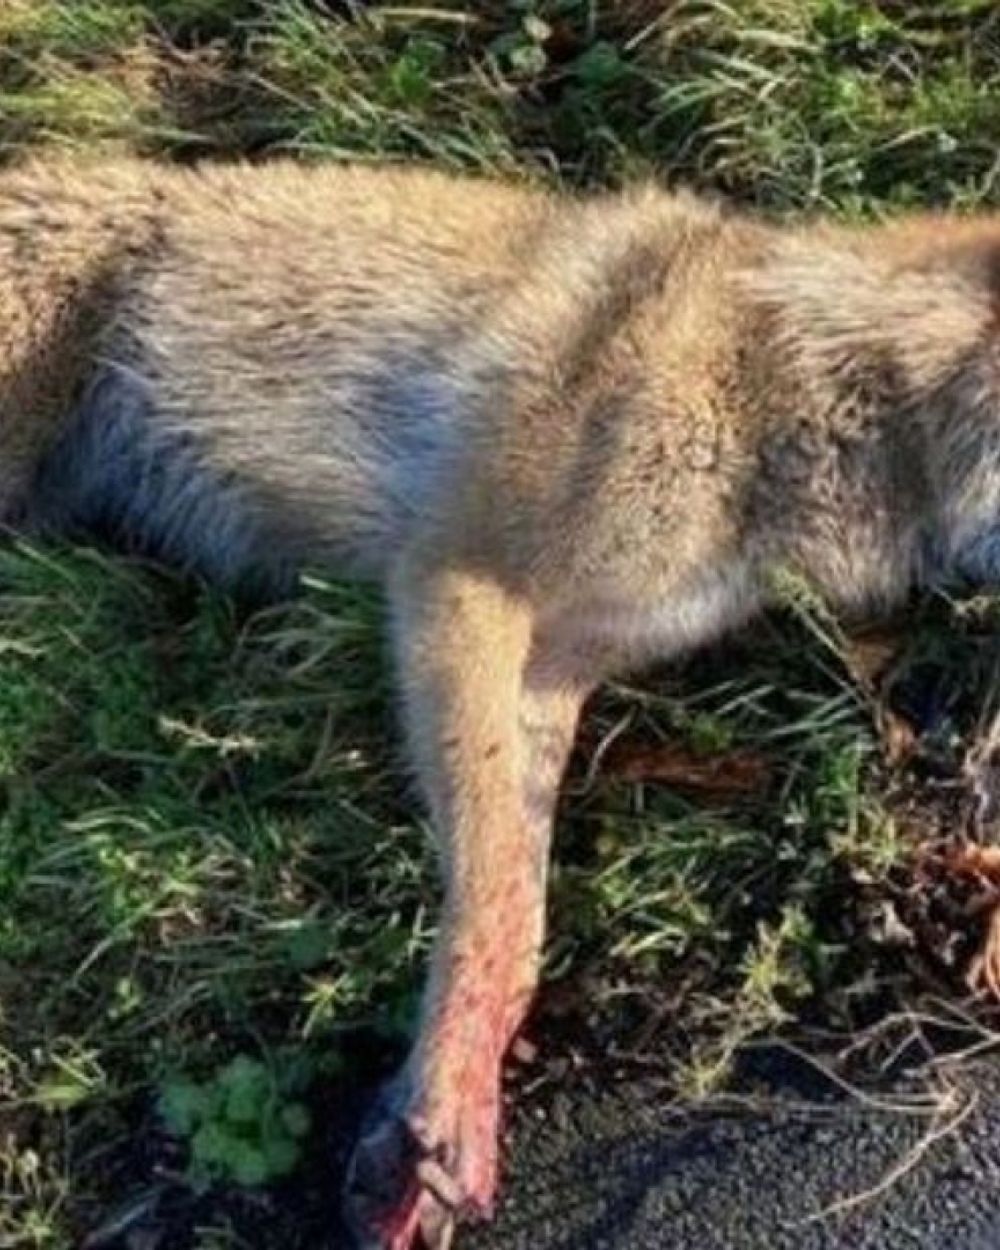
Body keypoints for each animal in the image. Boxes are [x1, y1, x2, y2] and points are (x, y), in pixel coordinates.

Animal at [3, 156, 1000, 1248]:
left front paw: (445, 1104)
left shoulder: (555, 667)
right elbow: (496, 908)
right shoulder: (457, 585)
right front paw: (442, 1105)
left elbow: (521, 913)